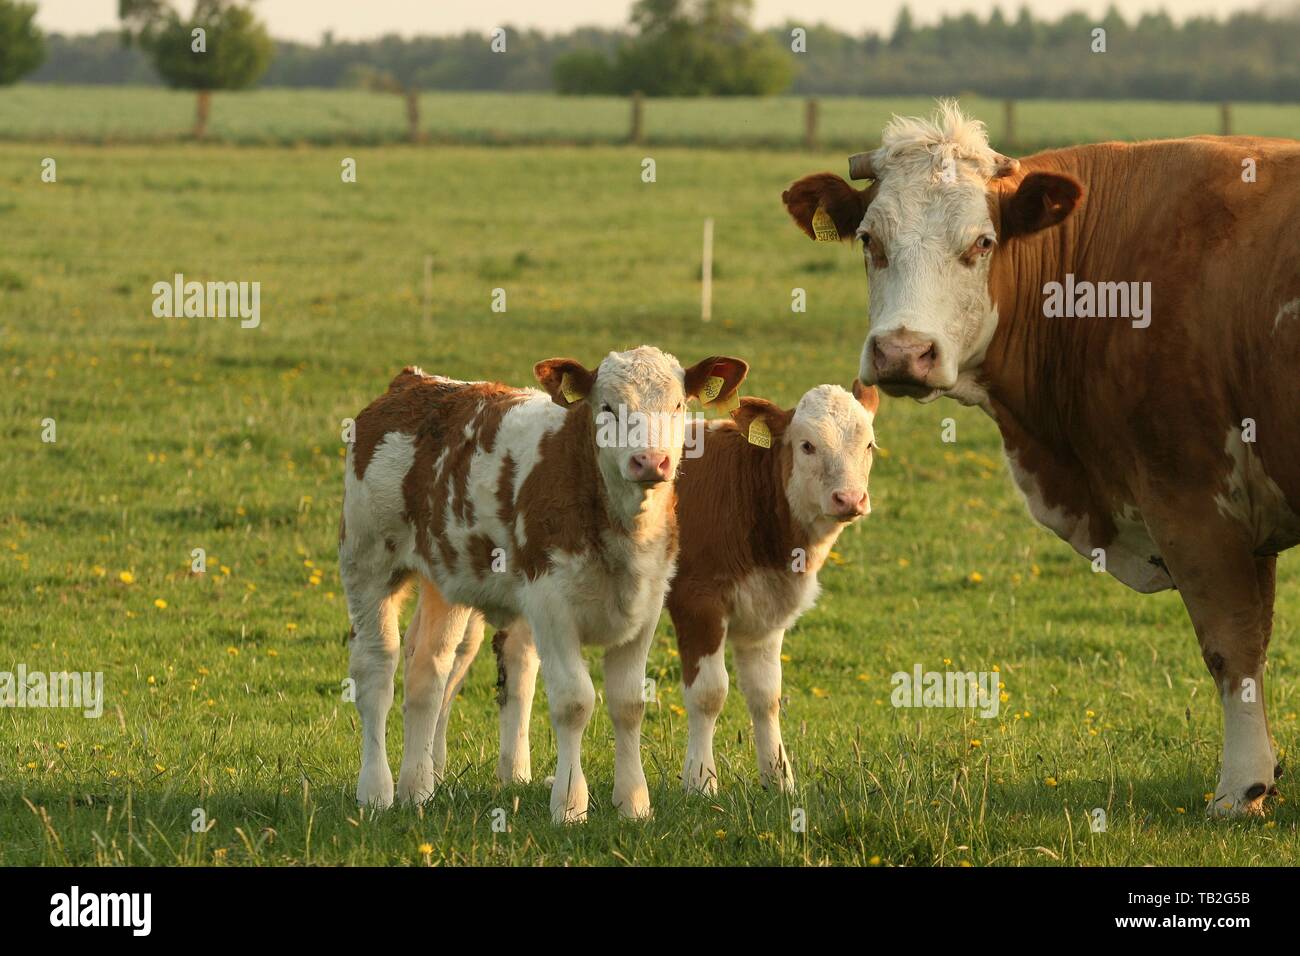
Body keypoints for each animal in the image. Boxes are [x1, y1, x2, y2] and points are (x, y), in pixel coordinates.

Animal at [339, 347, 748, 823]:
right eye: (606, 407)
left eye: (678, 405)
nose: (650, 461)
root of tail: (414, 381)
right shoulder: (551, 605)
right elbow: (574, 701)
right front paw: (570, 805)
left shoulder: (645, 606)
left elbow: (629, 703)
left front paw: (633, 802)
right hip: (367, 560)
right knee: (375, 670)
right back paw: (375, 790)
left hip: (444, 580)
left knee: (429, 670)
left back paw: (417, 788)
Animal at [782, 100, 1300, 816]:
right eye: (868, 241)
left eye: (981, 244)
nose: (902, 352)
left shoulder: (1192, 496)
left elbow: (1233, 647)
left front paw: (1240, 788)